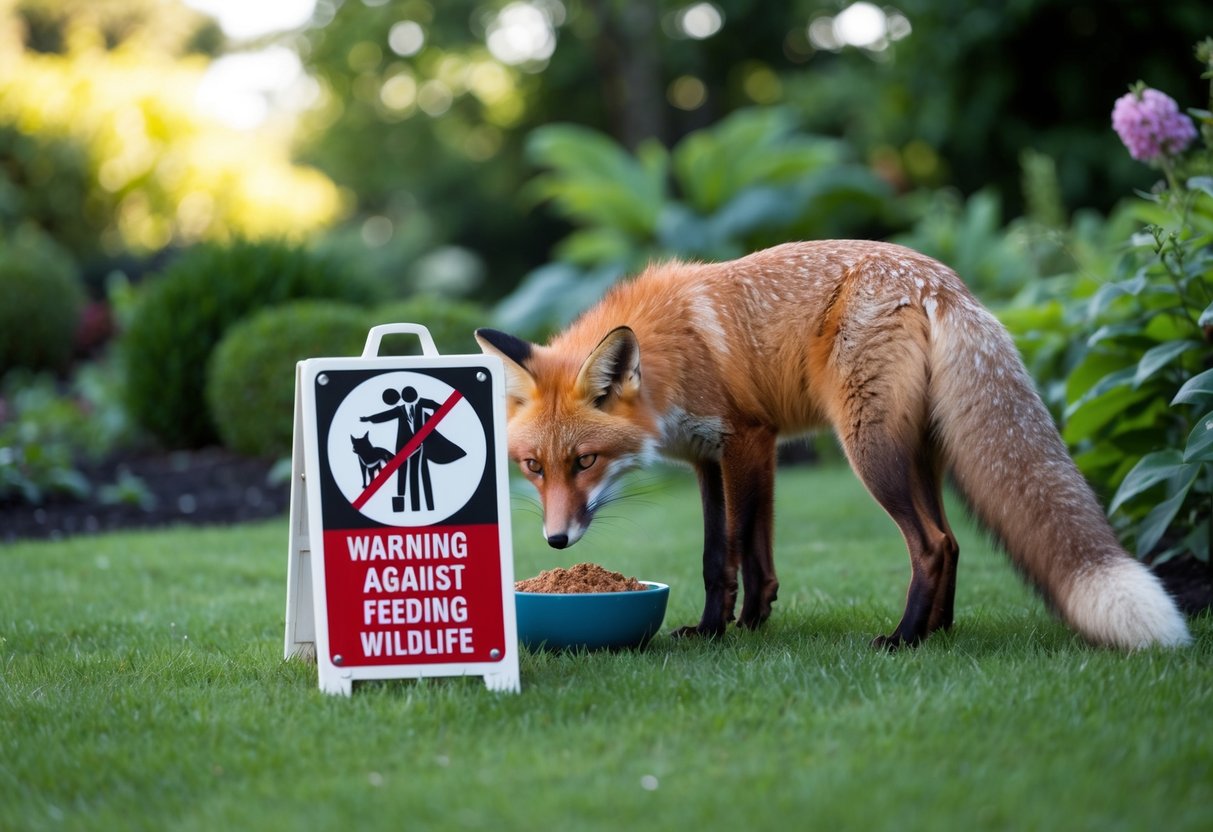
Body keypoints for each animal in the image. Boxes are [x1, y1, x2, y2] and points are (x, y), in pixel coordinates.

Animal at [476, 240, 1191, 650]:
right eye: (533, 467)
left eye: (586, 461)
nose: (556, 542)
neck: (670, 353)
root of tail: (945, 283)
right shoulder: (719, 455)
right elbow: (734, 555)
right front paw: (738, 624)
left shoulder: (745, 441)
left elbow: (732, 552)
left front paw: (724, 634)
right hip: (916, 454)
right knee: (953, 541)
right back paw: (938, 631)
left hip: (869, 451)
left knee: (931, 543)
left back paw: (903, 640)